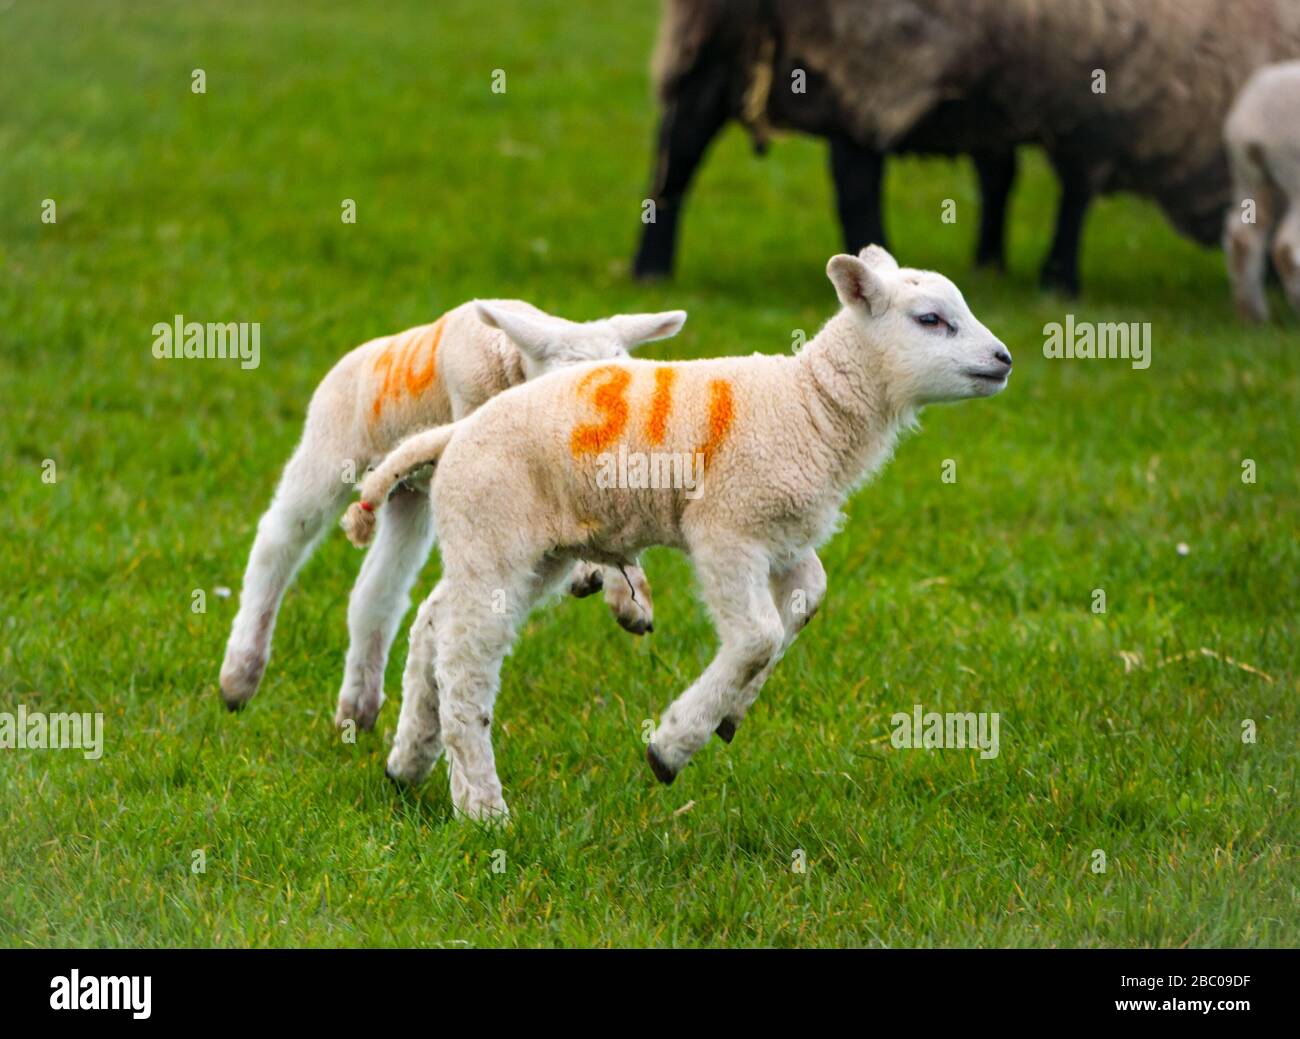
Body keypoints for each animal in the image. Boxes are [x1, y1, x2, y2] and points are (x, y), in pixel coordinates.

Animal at [219, 301, 685, 729]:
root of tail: (356, 355)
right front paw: (608, 582)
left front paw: (626, 594)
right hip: (328, 448)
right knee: (278, 541)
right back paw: (239, 676)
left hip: (408, 494)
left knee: (376, 590)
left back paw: (357, 708)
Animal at [341, 246, 1012, 820]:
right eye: (930, 319)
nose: (1004, 360)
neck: (809, 407)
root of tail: (454, 434)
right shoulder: (727, 528)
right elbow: (760, 636)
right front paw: (671, 746)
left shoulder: (783, 533)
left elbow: (807, 602)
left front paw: (730, 714)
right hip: (493, 534)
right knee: (464, 665)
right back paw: (483, 809)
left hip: (524, 548)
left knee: (434, 621)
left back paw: (408, 761)